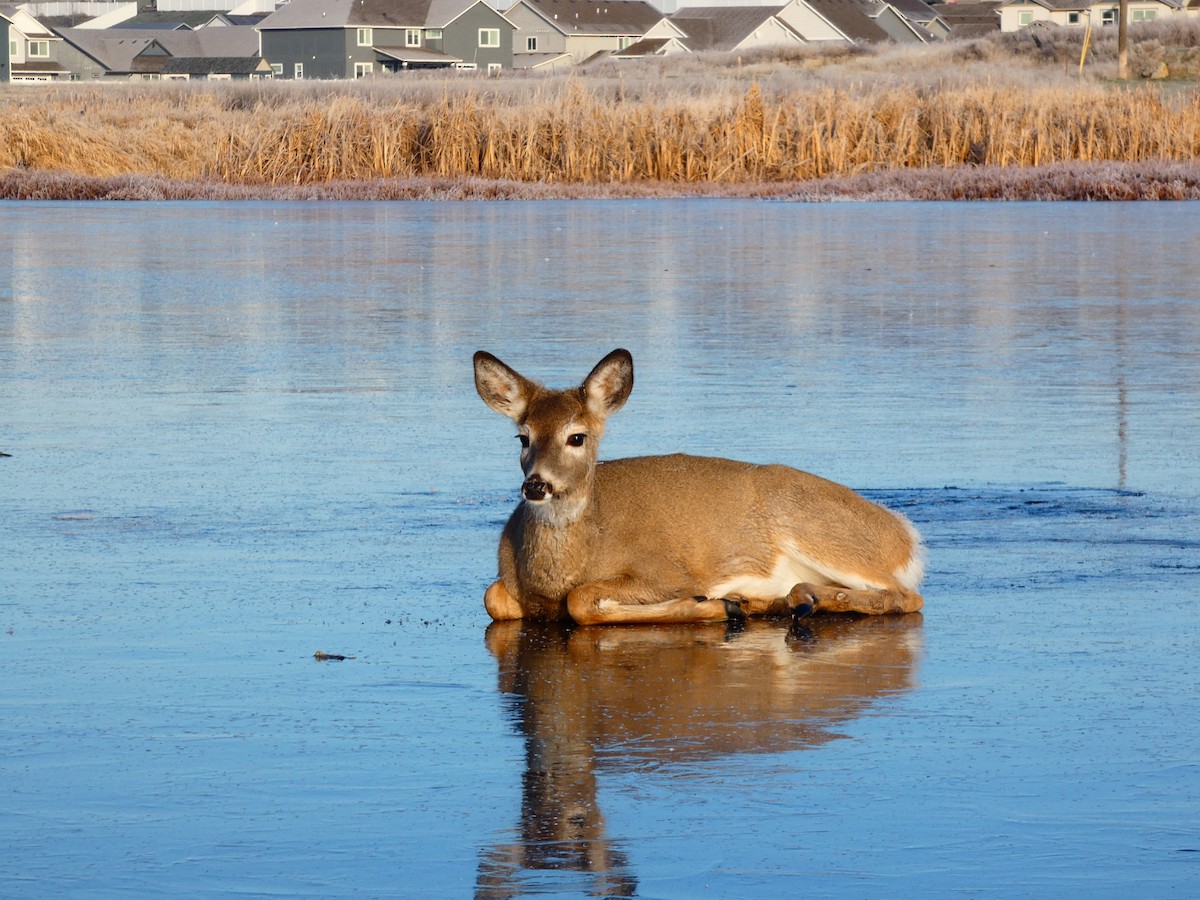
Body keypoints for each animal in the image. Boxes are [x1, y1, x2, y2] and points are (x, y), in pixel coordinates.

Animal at [473, 348, 925, 626]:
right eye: (523, 437)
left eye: (577, 437)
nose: (537, 486)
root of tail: (906, 536)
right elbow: (494, 597)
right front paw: (733, 604)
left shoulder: (670, 571)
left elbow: (581, 602)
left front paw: (714, 606)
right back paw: (784, 599)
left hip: (823, 533)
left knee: (907, 596)